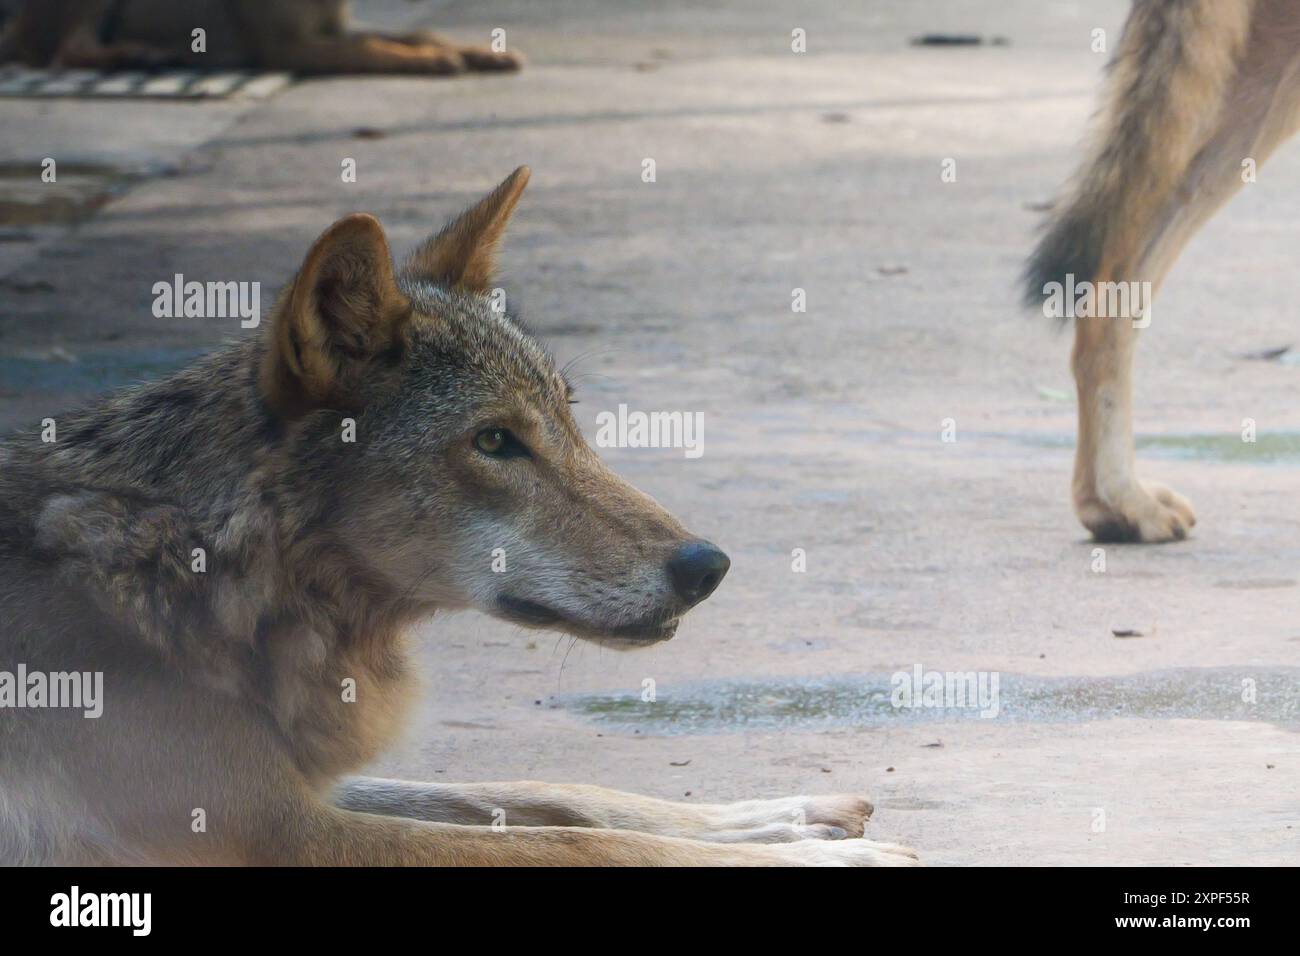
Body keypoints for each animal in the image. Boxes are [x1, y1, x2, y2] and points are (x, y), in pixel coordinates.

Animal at [0, 168, 918, 866]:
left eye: (568, 419)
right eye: (494, 441)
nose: (708, 567)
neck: (214, 572)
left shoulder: (297, 790)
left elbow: (548, 797)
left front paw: (776, 821)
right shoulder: (274, 830)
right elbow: (573, 843)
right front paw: (825, 858)